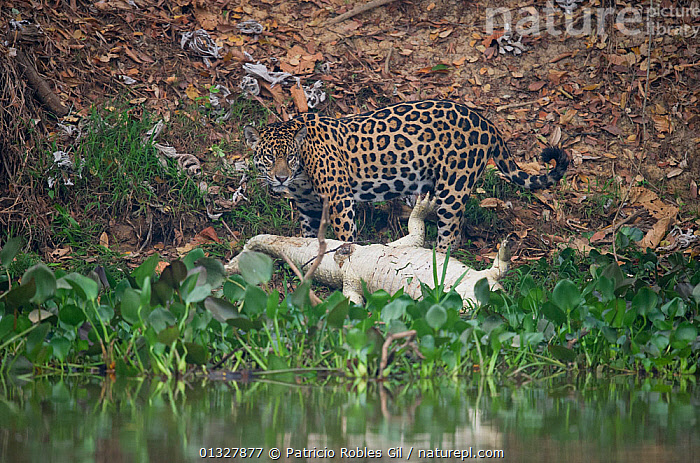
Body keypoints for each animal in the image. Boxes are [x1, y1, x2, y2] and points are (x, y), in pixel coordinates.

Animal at [244, 99, 568, 252]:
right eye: (269, 158)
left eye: (290, 157)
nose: (281, 178)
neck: (301, 176)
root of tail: (486, 122)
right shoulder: (308, 206)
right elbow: (308, 235)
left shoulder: (338, 199)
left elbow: (344, 234)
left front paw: (344, 256)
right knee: (458, 228)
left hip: (453, 187)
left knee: (449, 231)